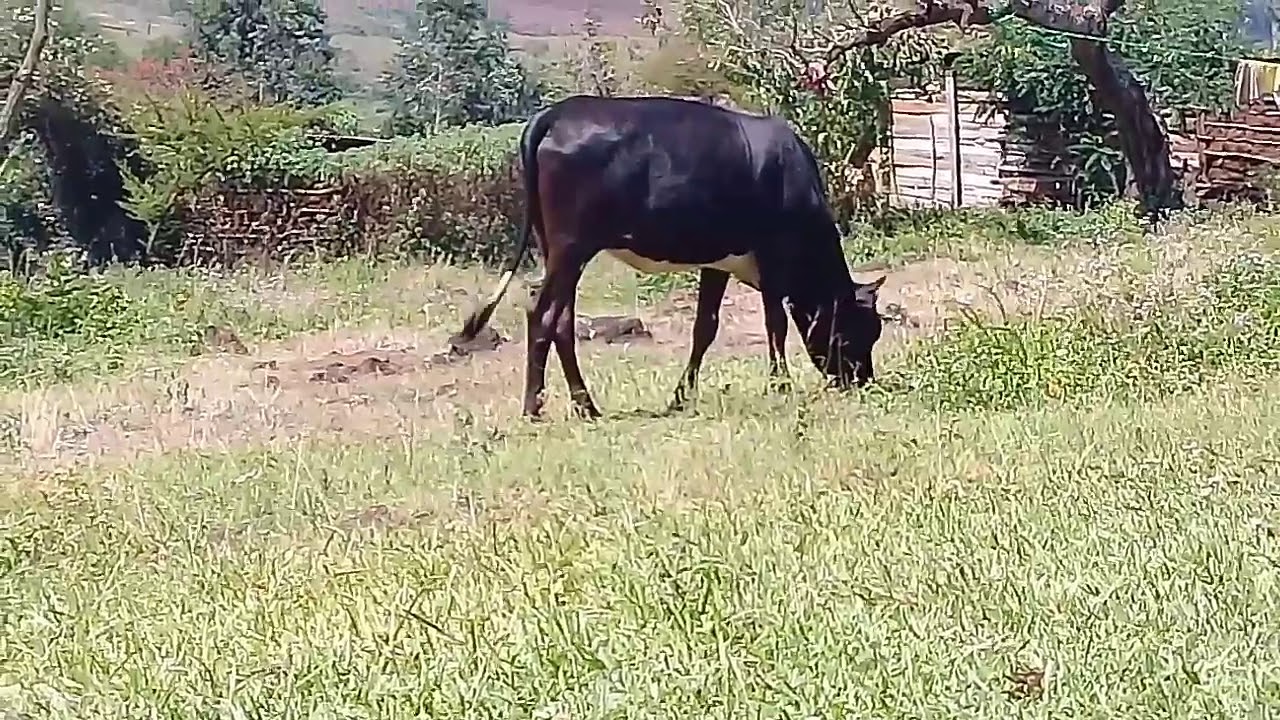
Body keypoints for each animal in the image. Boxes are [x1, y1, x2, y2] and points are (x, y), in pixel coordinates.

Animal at [452, 95, 888, 419]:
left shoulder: (719, 261)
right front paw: (780, 386)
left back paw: (586, 406)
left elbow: (705, 328)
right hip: (570, 246)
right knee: (541, 314)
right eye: (863, 329)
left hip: (558, 250)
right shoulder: (771, 254)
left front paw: (681, 397)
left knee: (561, 320)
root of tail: (557, 113)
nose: (862, 381)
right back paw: (533, 408)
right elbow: (775, 324)